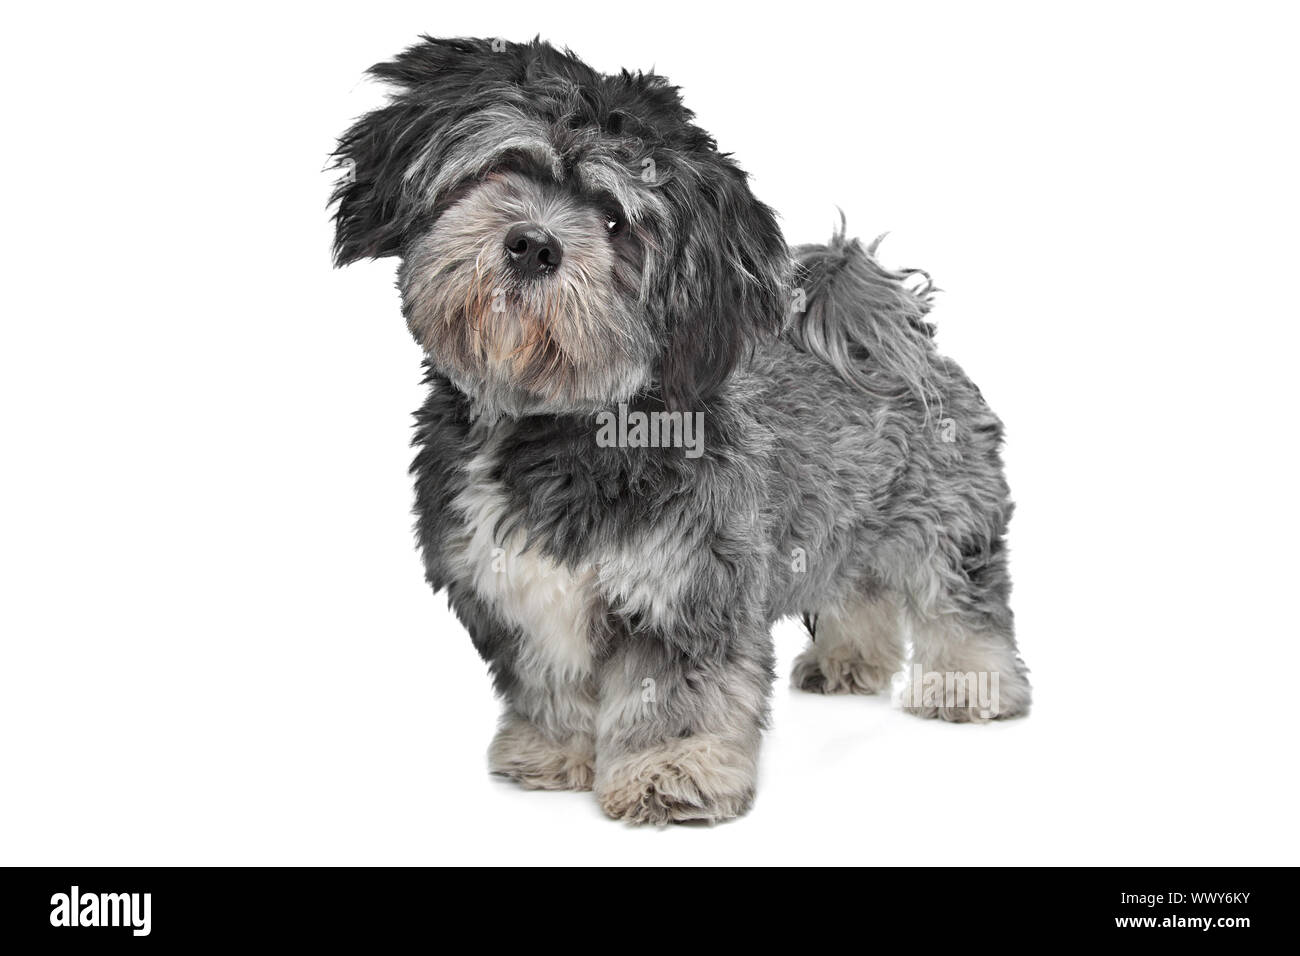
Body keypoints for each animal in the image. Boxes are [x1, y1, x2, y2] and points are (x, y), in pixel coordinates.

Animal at [330, 37, 1029, 827]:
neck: (557, 425)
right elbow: (548, 682)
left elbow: (674, 695)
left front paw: (672, 772)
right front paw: (552, 753)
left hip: (948, 528)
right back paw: (848, 661)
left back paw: (968, 684)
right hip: (841, 528)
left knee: (963, 604)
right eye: (508, 166)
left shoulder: (687, 584)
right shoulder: (518, 594)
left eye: (616, 222)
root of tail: (894, 341)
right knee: (862, 591)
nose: (533, 246)